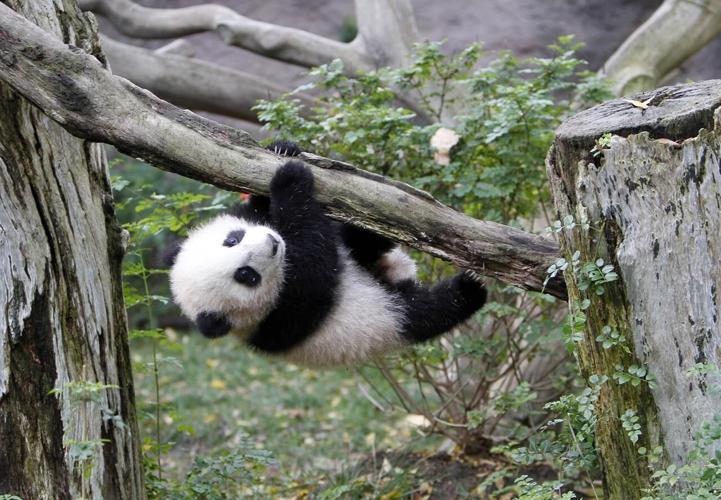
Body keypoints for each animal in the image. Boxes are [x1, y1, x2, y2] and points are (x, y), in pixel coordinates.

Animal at [165, 142, 487, 367]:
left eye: (232, 239)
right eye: (246, 276)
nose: (272, 242)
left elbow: (261, 210)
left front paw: (283, 150)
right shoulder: (281, 316)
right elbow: (317, 263)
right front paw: (291, 179)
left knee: (357, 240)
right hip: (386, 319)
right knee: (428, 311)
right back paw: (469, 289)